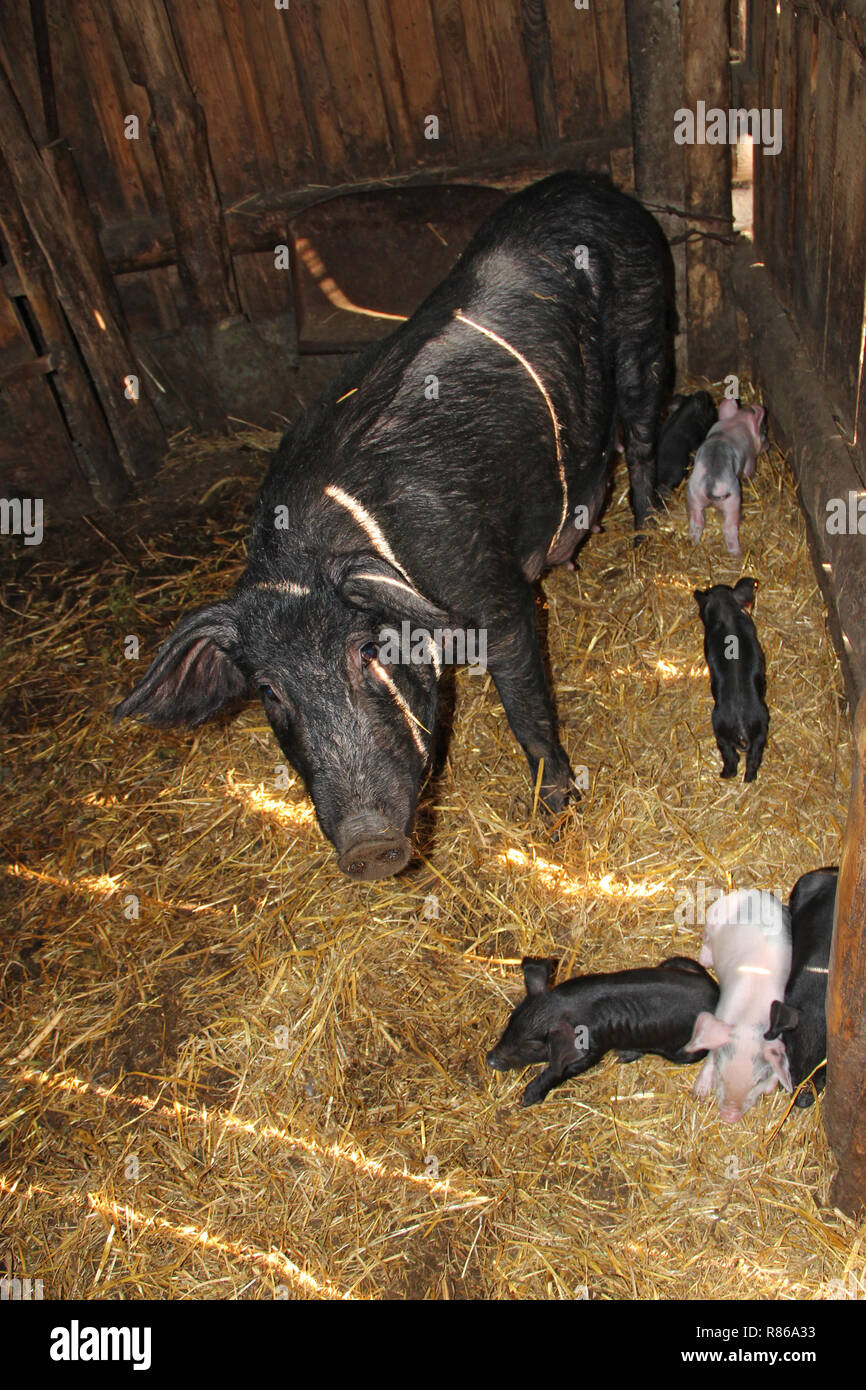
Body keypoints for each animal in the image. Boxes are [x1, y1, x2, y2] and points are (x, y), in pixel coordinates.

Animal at [114, 173, 672, 881]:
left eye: (367, 652)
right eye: (268, 690)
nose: (368, 845)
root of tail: (593, 184)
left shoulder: (495, 594)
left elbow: (528, 705)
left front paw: (552, 817)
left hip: (645, 334)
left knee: (644, 437)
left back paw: (649, 538)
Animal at [486, 955, 719, 1107]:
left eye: (534, 1048)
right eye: (512, 1019)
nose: (490, 1060)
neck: (563, 1009)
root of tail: (717, 995)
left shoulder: (590, 1051)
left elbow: (559, 1071)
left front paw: (527, 1099)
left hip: (684, 1051)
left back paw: (623, 1055)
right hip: (674, 962)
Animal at [685, 888, 792, 1123]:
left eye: (757, 1081)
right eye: (721, 1074)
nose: (728, 1116)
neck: (749, 1020)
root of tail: (751, 892)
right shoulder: (721, 1013)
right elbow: (710, 1054)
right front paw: (700, 1092)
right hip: (712, 917)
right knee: (707, 939)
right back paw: (705, 960)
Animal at [686, 398, 767, 554]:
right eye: (763, 431)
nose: (768, 445)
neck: (736, 422)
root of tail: (710, 485)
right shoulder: (750, 456)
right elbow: (749, 470)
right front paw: (750, 479)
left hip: (693, 494)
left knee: (696, 521)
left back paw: (693, 543)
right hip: (732, 499)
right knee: (729, 527)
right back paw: (737, 553)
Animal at [694, 577, 769, 782]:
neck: (725, 611)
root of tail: (741, 724)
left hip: (720, 729)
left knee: (731, 758)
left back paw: (724, 775)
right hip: (761, 729)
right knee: (753, 758)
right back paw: (749, 779)